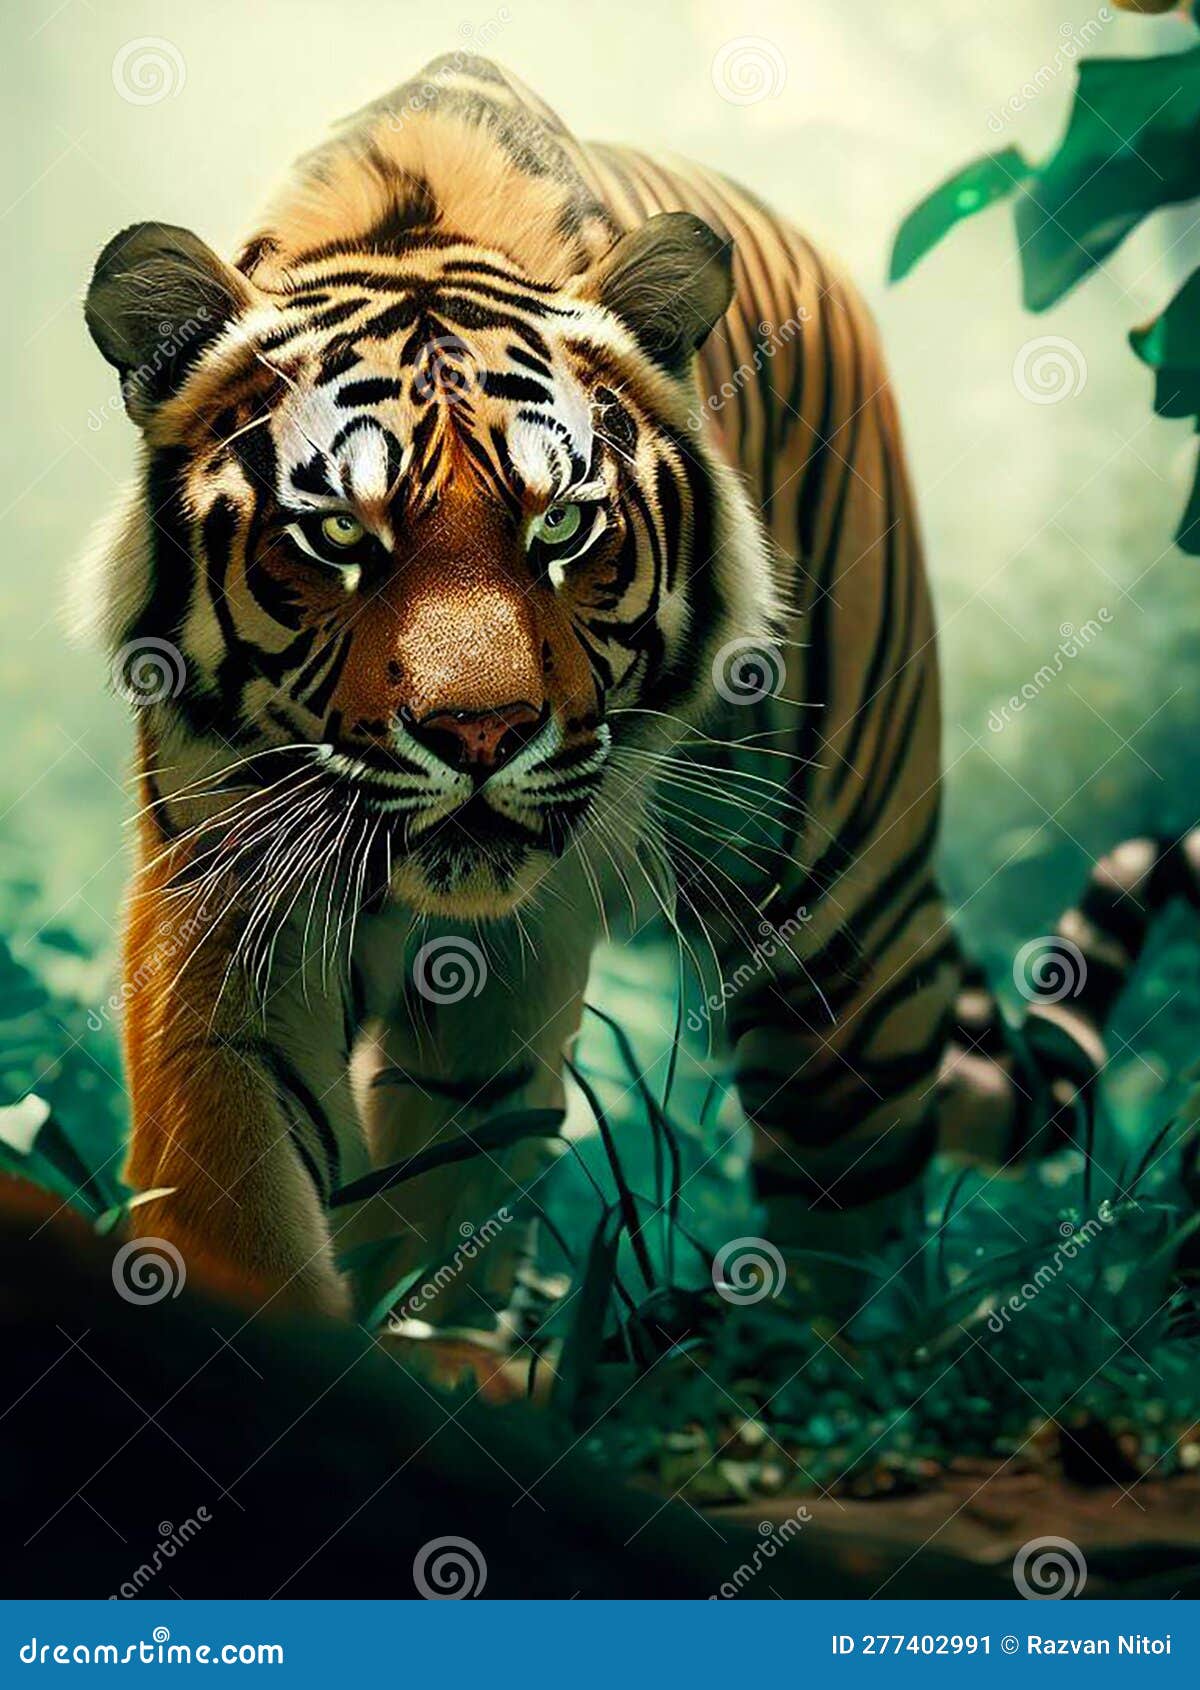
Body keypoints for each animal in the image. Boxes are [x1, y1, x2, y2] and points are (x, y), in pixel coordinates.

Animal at [78, 53, 1195, 1351]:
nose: (480, 735)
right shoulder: (228, 899)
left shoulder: (510, 949)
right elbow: (239, 1178)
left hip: (845, 932)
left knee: (845, 1228)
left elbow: (451, 1168)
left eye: (561, 525)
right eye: (341, 536)